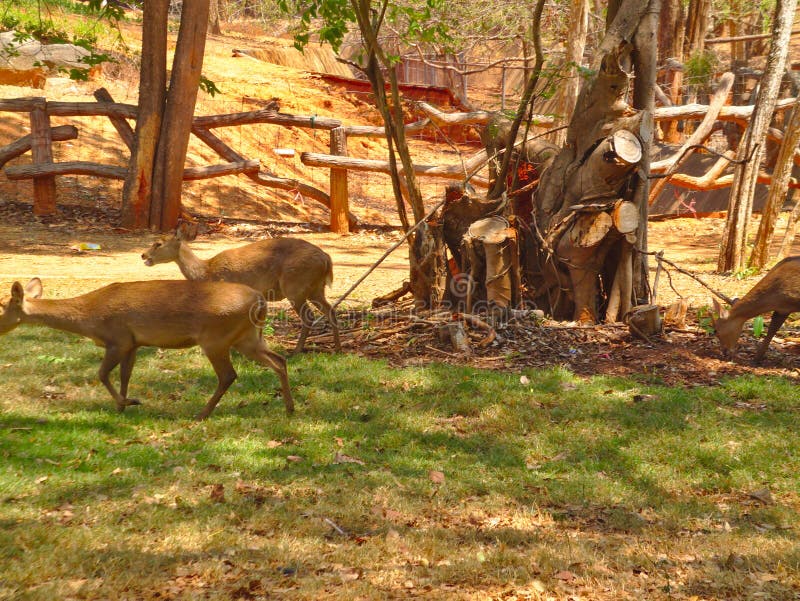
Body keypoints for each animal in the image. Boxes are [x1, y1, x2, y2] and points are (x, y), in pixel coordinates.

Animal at [0, 278, 293, 420]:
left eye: (1, 305)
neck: (89, 318)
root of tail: (260, 300)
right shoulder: (133, 342)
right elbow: (124, 375)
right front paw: (121, 406)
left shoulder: (117, 338)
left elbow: (102, 374)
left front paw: (129, 402)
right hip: (247, 337)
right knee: (279, 359)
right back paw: (289, 408)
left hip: (216, 338)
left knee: (228, 375)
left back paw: (202, 414)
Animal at [142, 228, 341, 354]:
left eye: (158, 243)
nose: (143, 255)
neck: (206, 272)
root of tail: (326, 259)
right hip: (316, 288)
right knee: (330, 310)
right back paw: (337, 349)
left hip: (295, 286)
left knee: (309, 316)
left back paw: (296, 351)